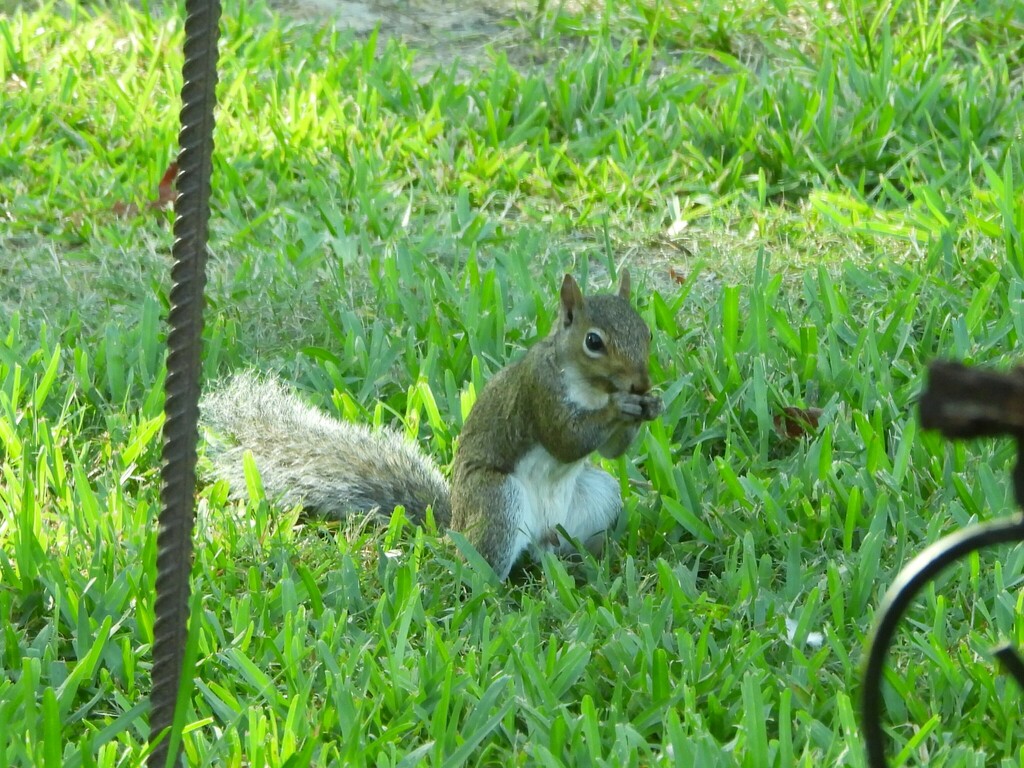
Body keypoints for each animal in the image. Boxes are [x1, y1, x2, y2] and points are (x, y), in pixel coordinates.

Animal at [201, 271, 663, 580]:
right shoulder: (540, 393)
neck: (590, 387)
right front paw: (622, 406)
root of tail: (455, 528)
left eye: (647, 333)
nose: (641, 383)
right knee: (481, 566)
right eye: (593, 342)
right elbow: (566, 439)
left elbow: (610, 451)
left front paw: (650, 405)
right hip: (497, 500)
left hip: (597, 498)